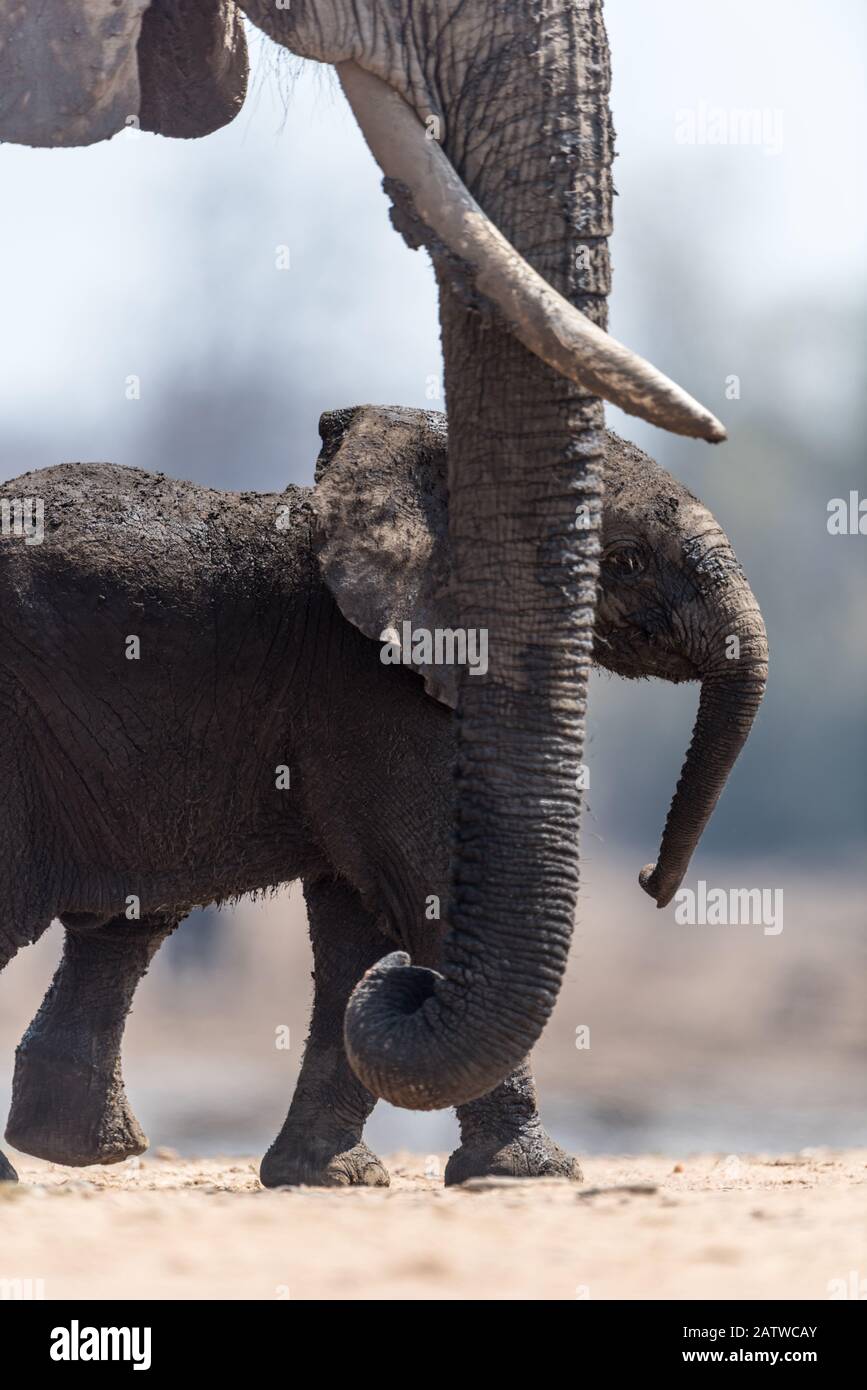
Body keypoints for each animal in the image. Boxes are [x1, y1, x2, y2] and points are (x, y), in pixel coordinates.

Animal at [0, 406, 767, 1186]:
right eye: (628, 560)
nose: (648, 879)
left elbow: (358, 926)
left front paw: (326, 1177)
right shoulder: (373, 687)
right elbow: (428, 893)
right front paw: (530, 1174)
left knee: (125, 926)